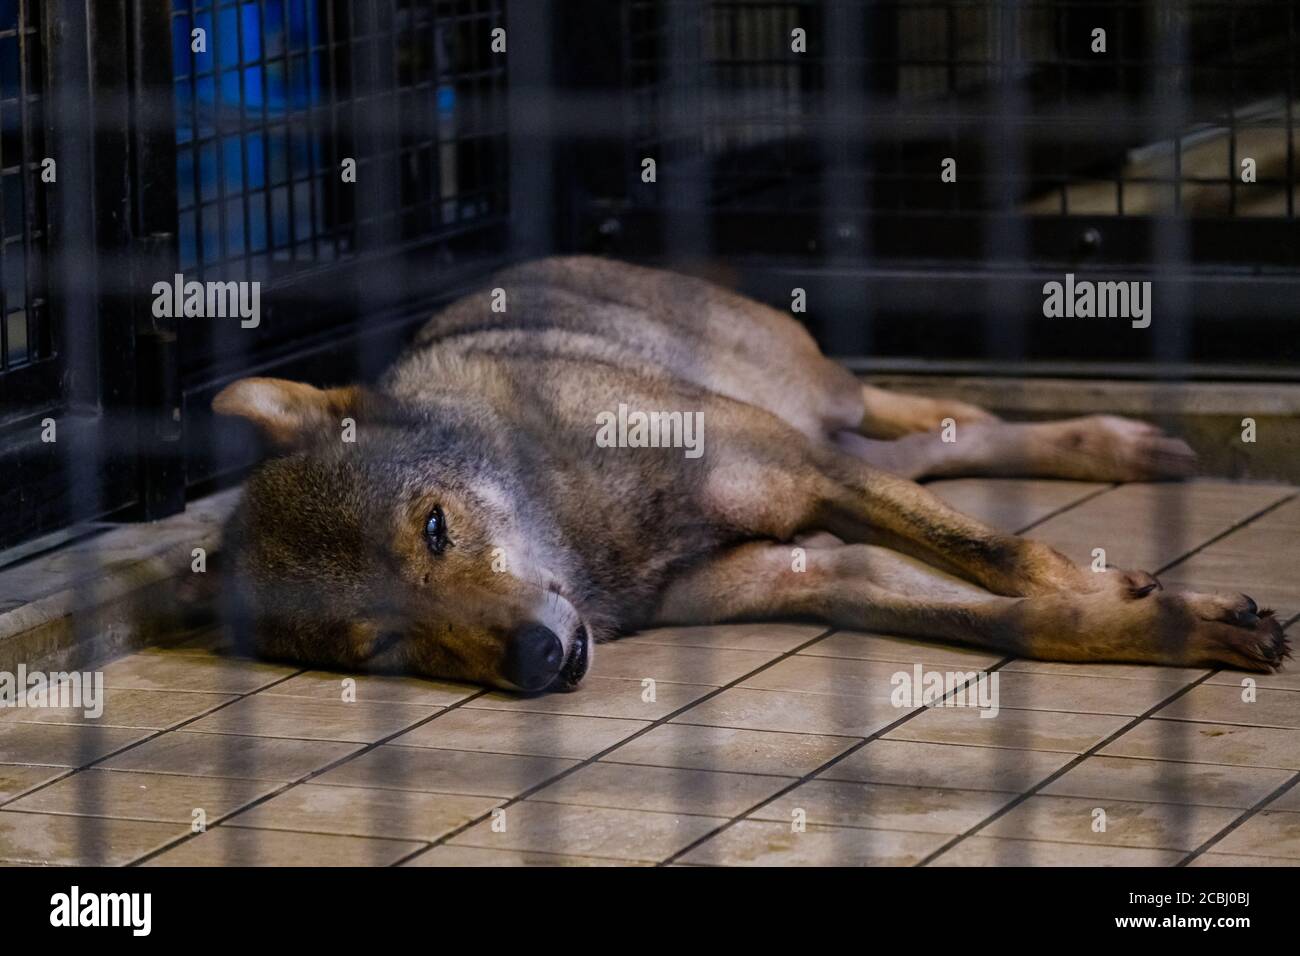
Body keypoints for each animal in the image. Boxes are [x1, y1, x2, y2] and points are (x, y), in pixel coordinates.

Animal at [213, 256, 1288, 692]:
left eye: (434, 529)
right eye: (391, 646)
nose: (536, 661)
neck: (593, 533)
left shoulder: (805, 473)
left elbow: (1004, 557)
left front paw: (1121, 589)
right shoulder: (824, 567)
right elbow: (1020, 618)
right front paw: (1167, 622)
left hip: (810, 399)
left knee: (941, 420)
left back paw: (1121, 444)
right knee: (948, 440)